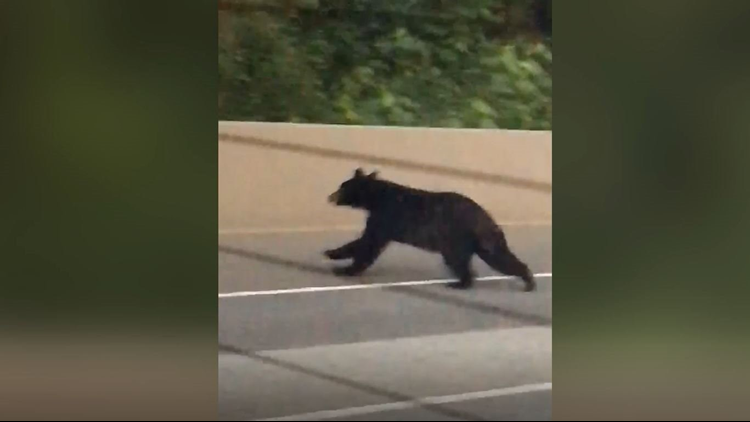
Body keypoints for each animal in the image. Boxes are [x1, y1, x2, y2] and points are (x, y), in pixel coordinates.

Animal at [324, 168, 536, 292]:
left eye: (342, 187)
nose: (330, 196)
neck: (376, 199)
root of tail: (486, 218)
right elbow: (365, 240)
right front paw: (332, 253)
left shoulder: (386, 217)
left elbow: (369, 243)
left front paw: (343, 266)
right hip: (479, 240)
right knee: (499, 256)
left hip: (456, 238)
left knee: (467, 260)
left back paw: (460, 283)